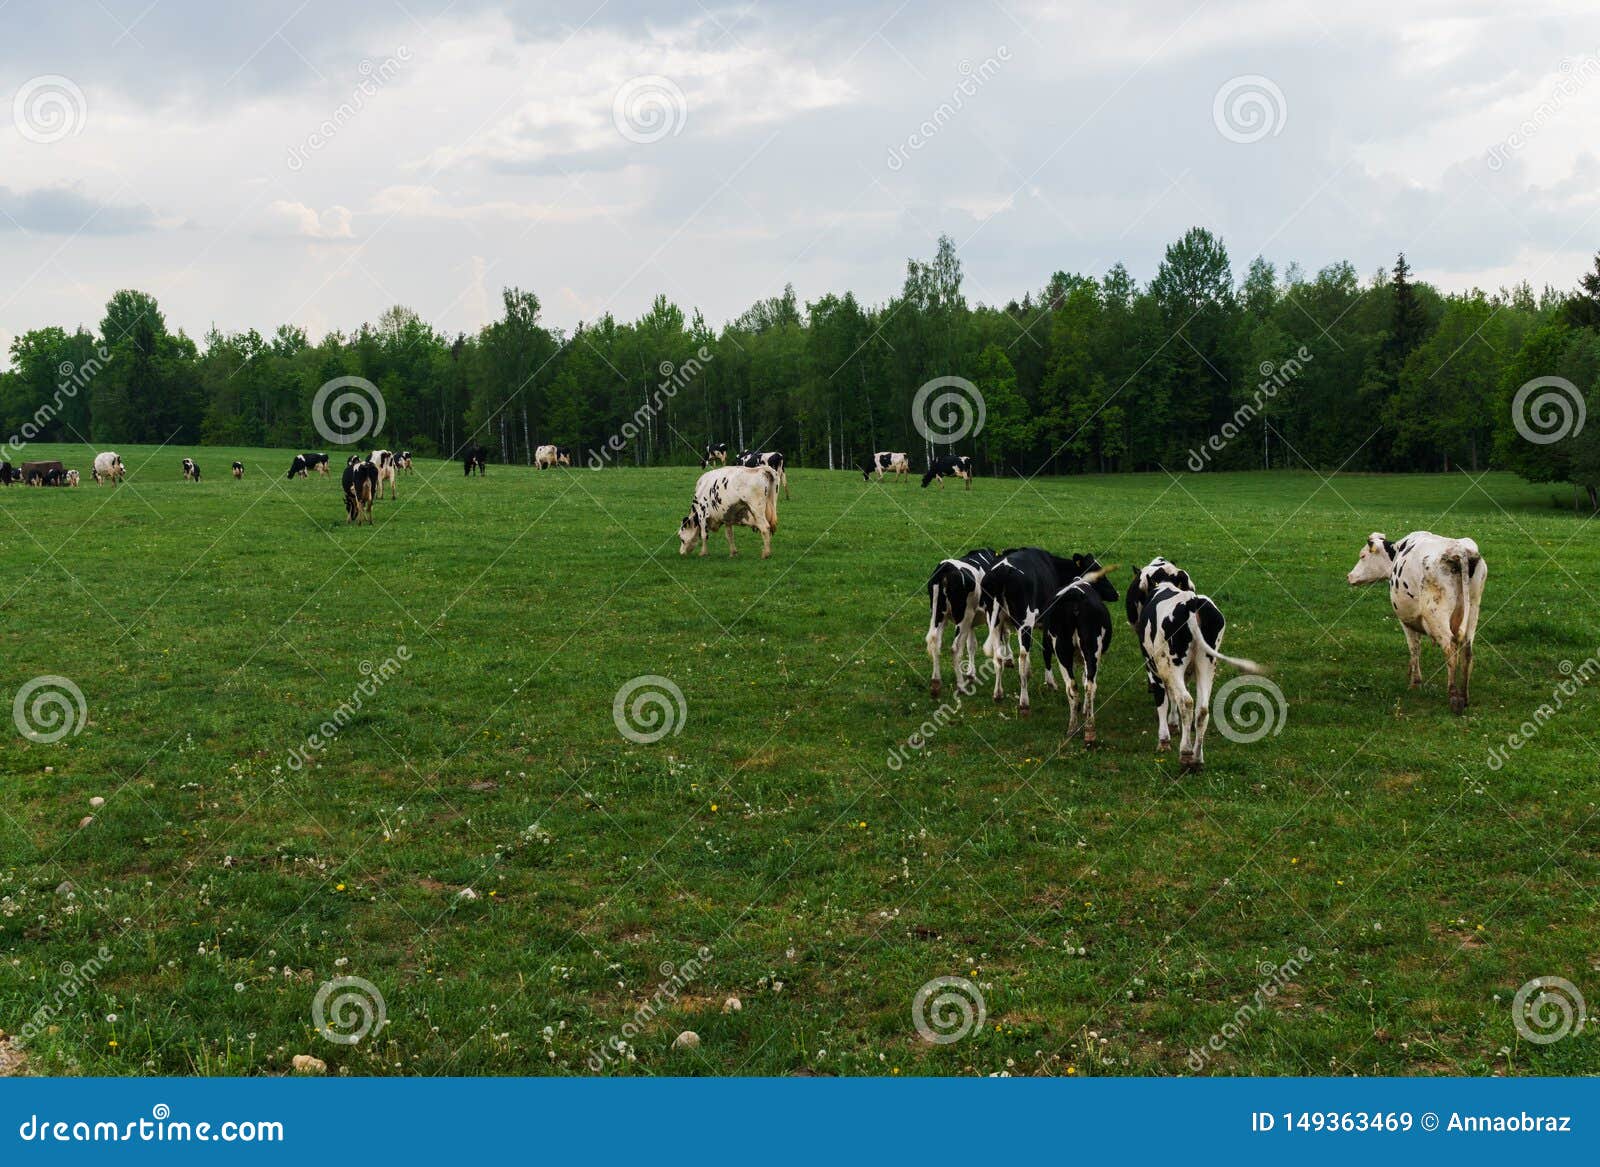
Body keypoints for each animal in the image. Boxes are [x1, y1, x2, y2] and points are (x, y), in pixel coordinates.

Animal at [925, 548, 999, 698]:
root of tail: (946, 567)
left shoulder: (971, 623)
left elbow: (971, 645)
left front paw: (971, 675)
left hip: (939, 614)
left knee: (935, 642)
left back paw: (936, 683)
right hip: (964, 616)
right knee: (956, 648)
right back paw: (961, 686)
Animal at [982, 548, 1113, 720]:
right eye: (1099, 573)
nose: (1116, 594)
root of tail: (1004, 569)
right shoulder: (1046, 624)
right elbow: (1045, 650)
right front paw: (1050, 682)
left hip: (994, 620)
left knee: (998, 658)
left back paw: (998, 694)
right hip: (1025, 623)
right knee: (1022, 658)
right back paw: (1024, 702)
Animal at [1126, 557, 1265, 770]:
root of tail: (1192, 602)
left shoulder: (1152, 665)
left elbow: (1162, 698)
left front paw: (1164, 739)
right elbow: (1172, 696)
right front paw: (1175, 724)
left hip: (1176, 662)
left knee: (1187, 701)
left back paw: (1185, 753)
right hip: (1206, 663)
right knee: (1202, 708)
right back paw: (1197, 758)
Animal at [1347, 531, 1486, 714]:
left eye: (1362, 556)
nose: (1349, 576)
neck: (1398, 551)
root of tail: (1459, 551)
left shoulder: (1407, 620)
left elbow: (1414, 649)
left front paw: (1415, 682)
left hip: (1437, 615)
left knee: (1450, 649)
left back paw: (1454, 697)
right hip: (1473, 611)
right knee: (1467, 652)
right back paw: (1465, 696)